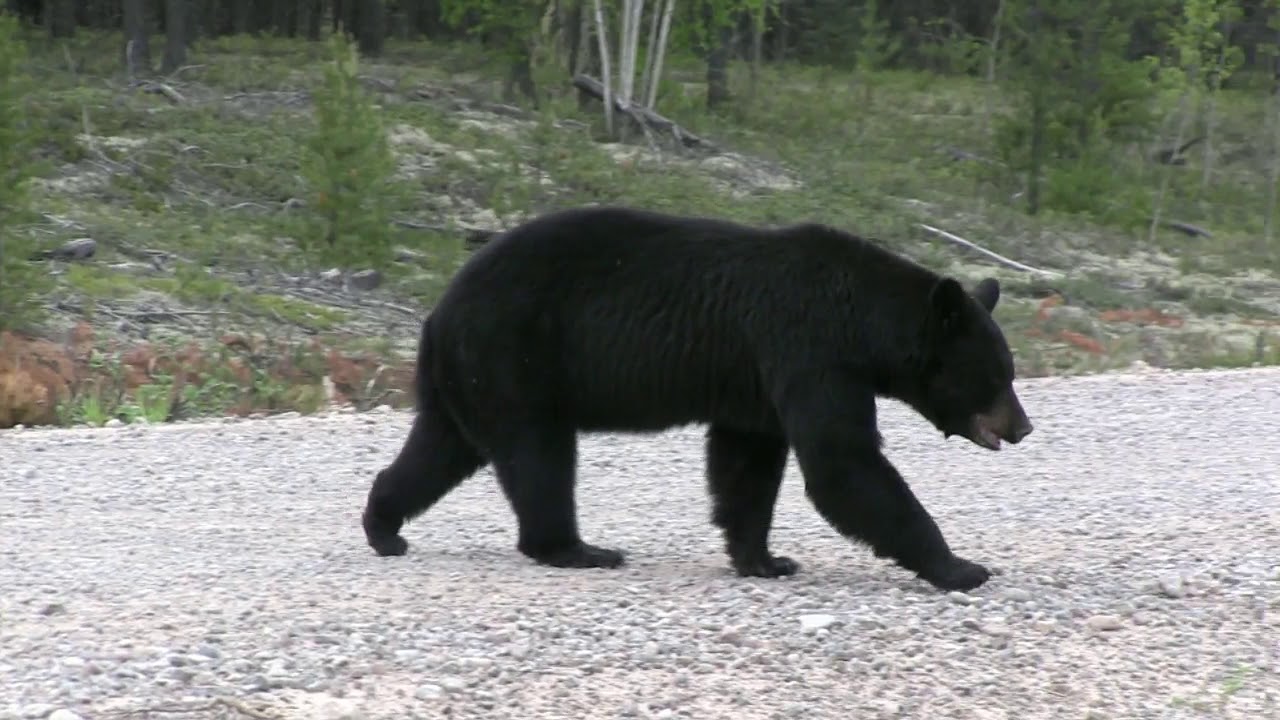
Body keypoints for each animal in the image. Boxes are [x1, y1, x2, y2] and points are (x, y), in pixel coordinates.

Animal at [361, 205, 1034, 593]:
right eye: (998, 375)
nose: (1023, 426)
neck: (861, 322)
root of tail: (438, 310)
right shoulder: (807, 348)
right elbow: (844, 462)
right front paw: (961, 567)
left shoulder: (756, 383)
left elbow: (748, 465)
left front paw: (764, 558)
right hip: (516, 357)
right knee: (539, 455)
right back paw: (576, 549)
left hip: (470, 377)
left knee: (440, 448)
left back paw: (384, 525)